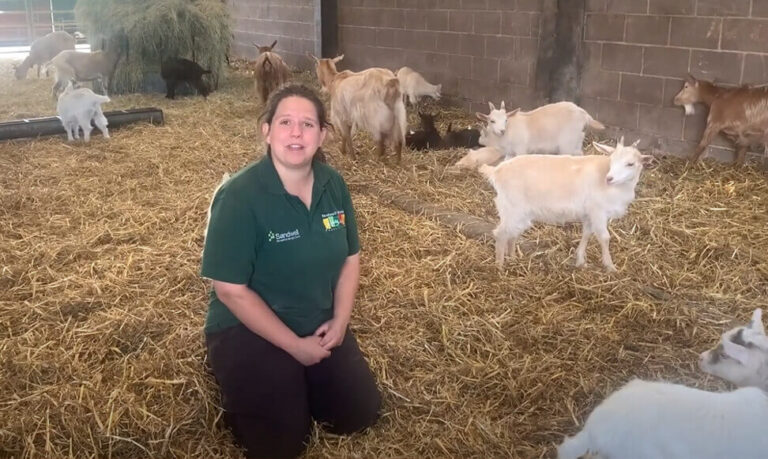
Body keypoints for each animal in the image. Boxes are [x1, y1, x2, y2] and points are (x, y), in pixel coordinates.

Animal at [478, 138, 653, 271]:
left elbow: (586, 234)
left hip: (519, 212)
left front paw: (580, 261)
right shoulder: (598, 211)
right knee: (500, 233)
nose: (609, 178)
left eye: (630, 164)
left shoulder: (589, 213)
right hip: (512, 207)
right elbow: (604, 238)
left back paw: (514, 257)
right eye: (612, 160)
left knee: (513, 233)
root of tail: (496, 172)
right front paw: (610, 267)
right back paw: (500, 266)